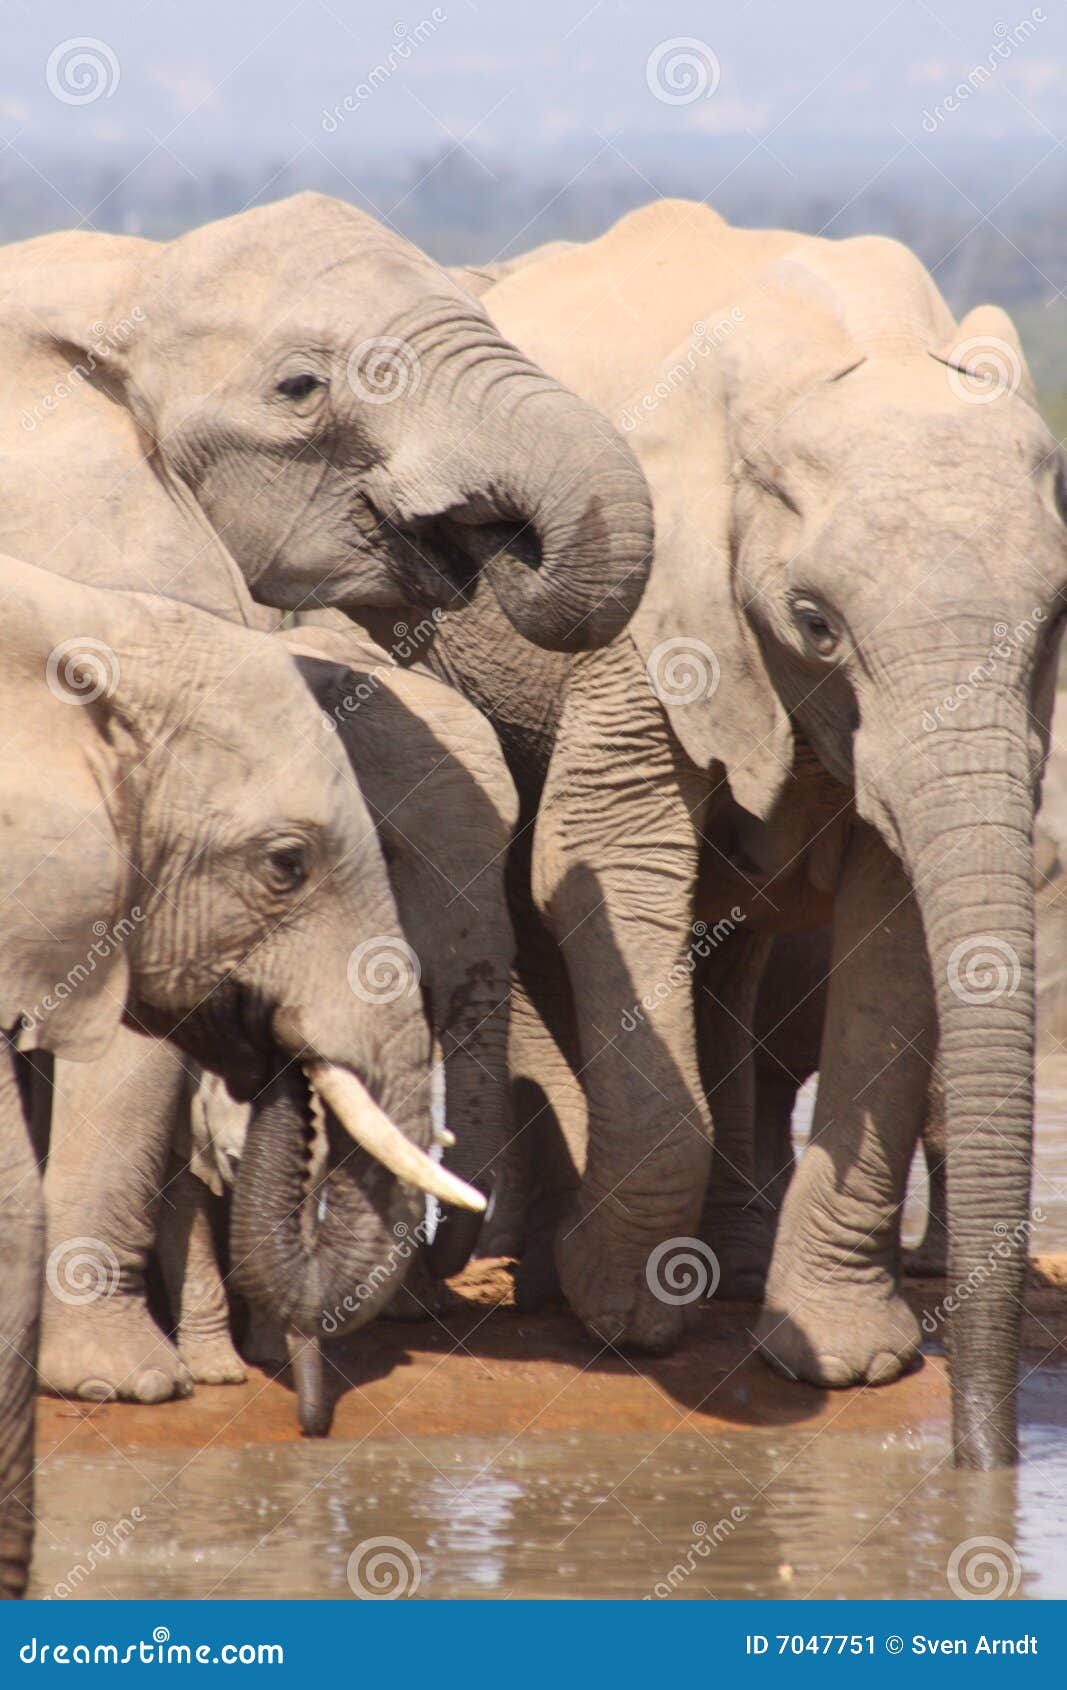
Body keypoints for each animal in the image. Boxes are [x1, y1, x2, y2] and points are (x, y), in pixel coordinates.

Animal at [395, 198, 1067, 1468]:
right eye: (811, 620)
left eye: (1055, 619)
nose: (983, 1458)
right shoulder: (647, 596)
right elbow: (607, 854)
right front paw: (622, 1312)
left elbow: (892, 916)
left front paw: (843, 1356)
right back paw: (562, 1278)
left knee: (729, 947)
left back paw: (731, 1267)